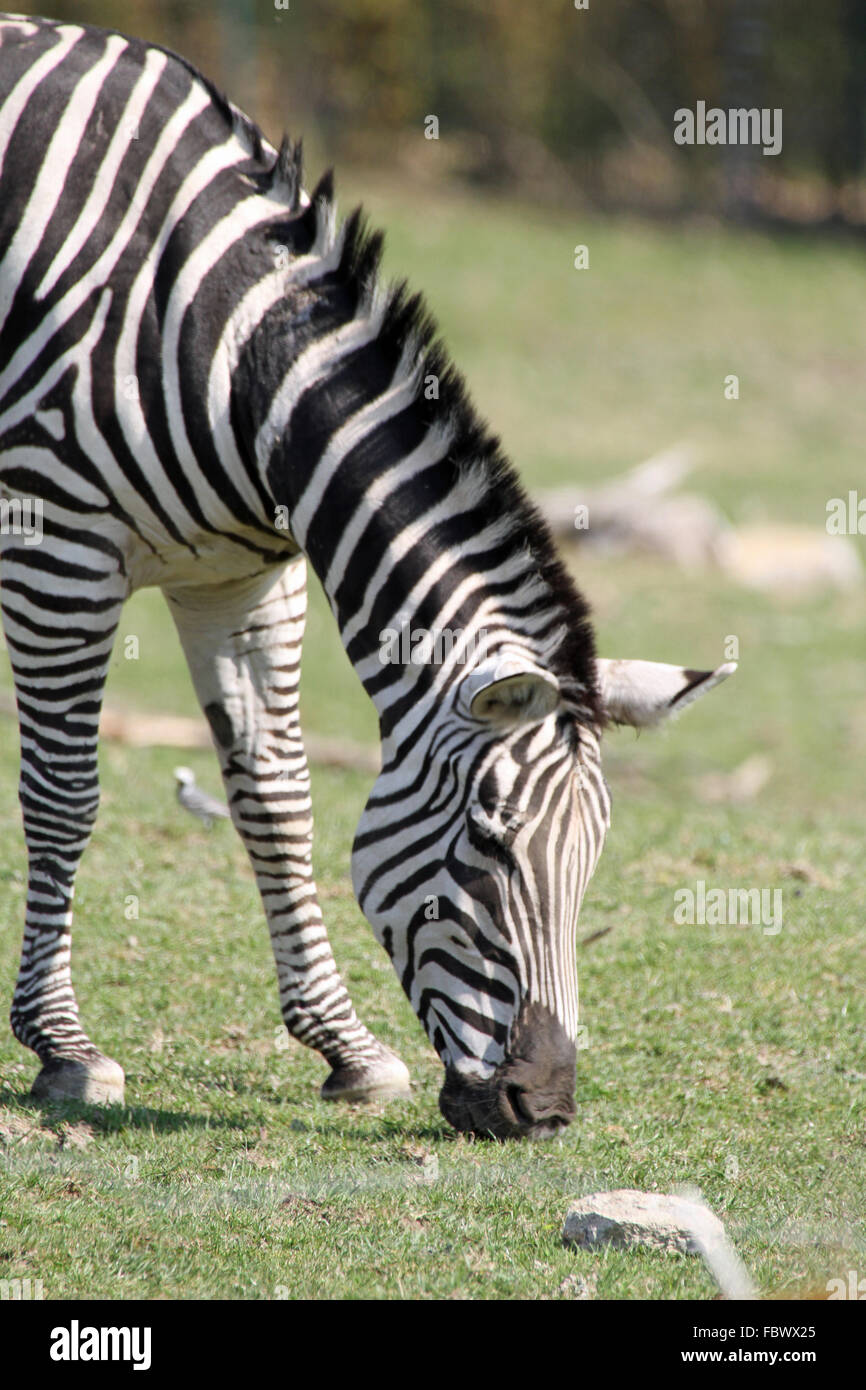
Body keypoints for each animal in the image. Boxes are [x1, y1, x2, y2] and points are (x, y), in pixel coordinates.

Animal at [0, 15, 735, 1138]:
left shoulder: (244, 575)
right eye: (486, 846)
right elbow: (64, 795)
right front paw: (63, 1047)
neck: (232, 346)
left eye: (592, 855)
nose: (544, 1109)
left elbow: (275, 796)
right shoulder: (59, 548)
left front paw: (342, 1047)